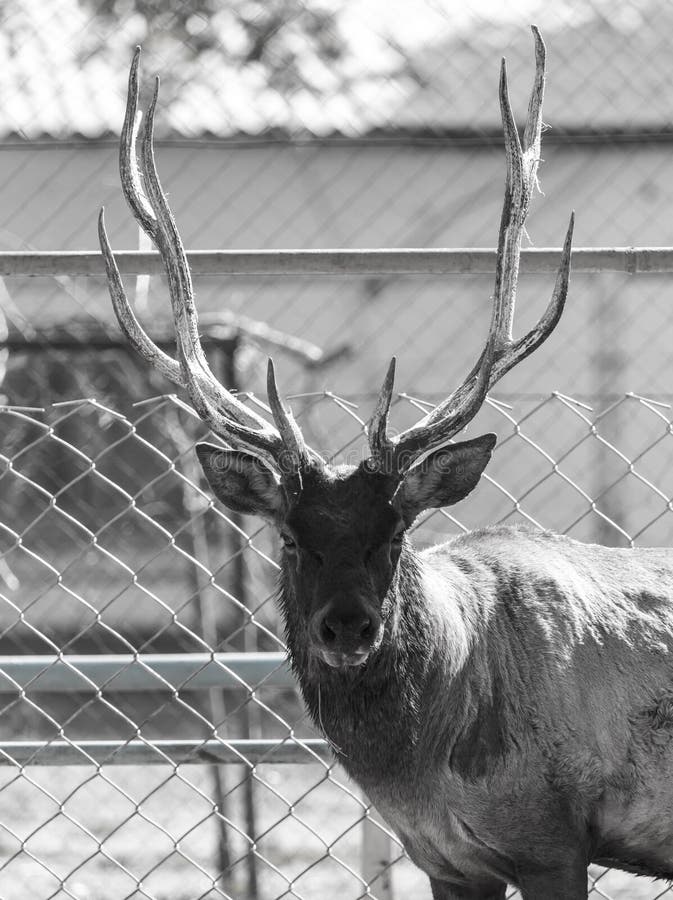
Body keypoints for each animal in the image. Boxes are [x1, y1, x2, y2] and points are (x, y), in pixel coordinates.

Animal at [98, 28, 673, 900]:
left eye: (396, 534)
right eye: (289, 538)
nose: (348, 625)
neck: (429, 763)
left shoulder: (554, 839)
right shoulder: (444, 859)